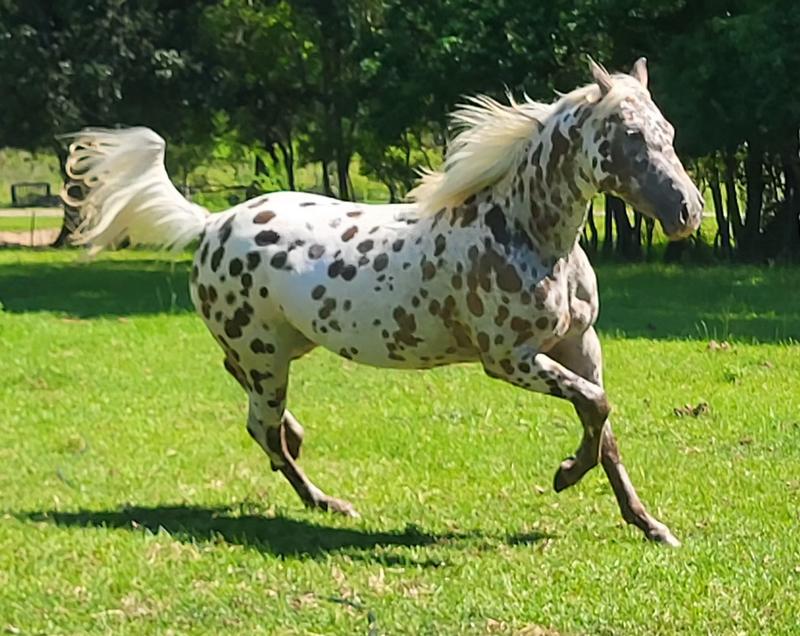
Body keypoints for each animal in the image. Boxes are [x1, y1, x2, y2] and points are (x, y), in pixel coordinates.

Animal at [62, 58, 702, 546]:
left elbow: (603, 423)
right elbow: (597, 407)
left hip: (283, 347)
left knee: (247, 396)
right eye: (630, 136)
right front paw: (566, 475)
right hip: (266, 358)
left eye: (669, 131)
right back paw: (327, 502)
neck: (520, 231)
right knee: (261, 428)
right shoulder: (510, 360)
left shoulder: (578, 344)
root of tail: (213, 223)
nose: (689, 211)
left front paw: (650, 525)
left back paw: (301, 443)